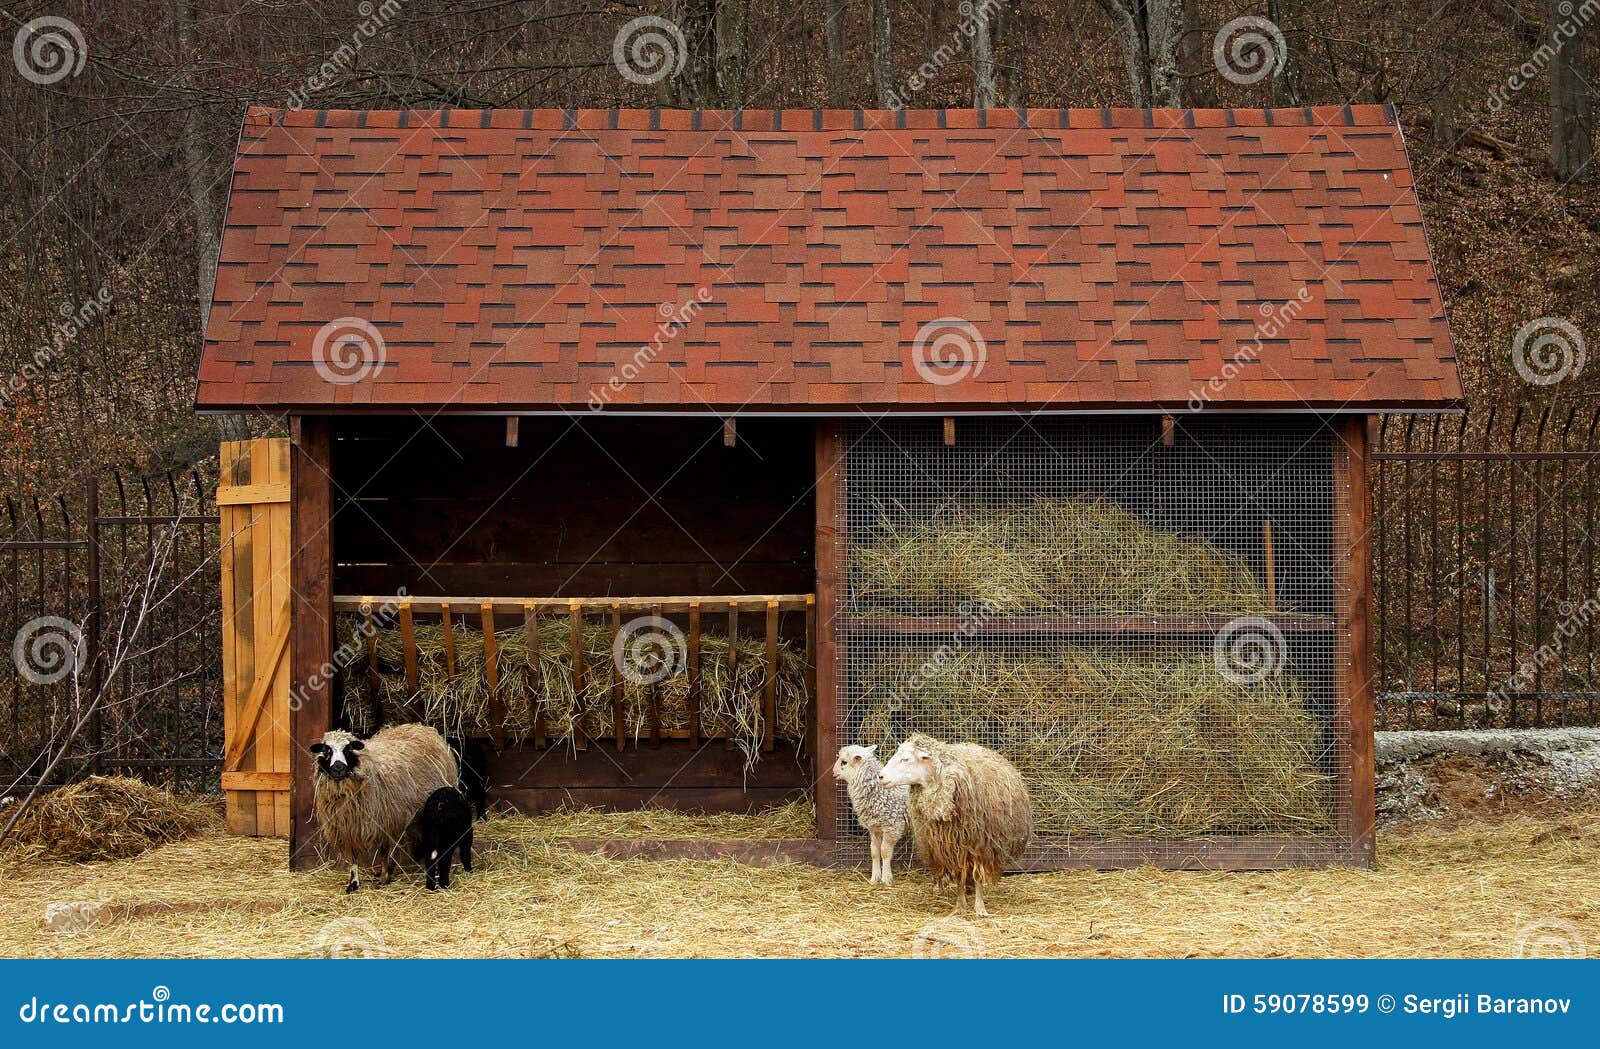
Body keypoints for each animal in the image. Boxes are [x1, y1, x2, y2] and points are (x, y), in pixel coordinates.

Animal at [309, 724, 456, 894]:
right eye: (327, 750)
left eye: (348, 749)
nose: (338, 767)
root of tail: (422, 728)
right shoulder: (348, 828)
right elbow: (353, 858)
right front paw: (353, 884)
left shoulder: (383, 822)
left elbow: (384, 852)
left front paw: (383, 879)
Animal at [832, 744, 908, 885]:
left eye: (844, 762)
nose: (833, 773)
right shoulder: (874, 828)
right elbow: (874, 852)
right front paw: (874, 878)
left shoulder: (892, 826)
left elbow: (885, 852)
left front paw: (886, 879)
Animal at [878, 732, 1031, 917]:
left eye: (906, 759)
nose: (880, 776)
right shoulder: (950, 846)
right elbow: (959, 875)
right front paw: (959, 906)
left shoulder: (980, 845)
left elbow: (978, 876)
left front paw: (980, 908)